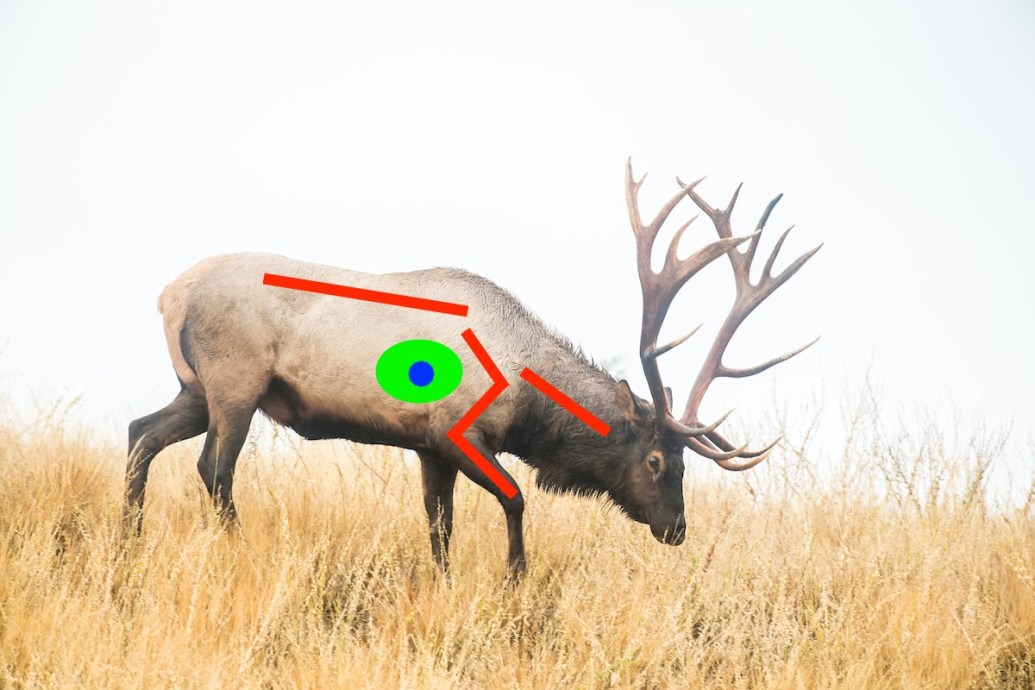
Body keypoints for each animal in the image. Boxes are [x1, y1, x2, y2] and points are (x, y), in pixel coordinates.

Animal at [125, 159, 820, 576]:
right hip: (235, 381)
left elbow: (440, 528)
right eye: (656, 460)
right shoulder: (454, 432)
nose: (676, 528)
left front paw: (446, 582)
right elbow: (513, 498)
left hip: (196, 388)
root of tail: (168, 295)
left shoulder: (426, 447)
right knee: (213, 468)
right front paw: (516, 578)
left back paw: (128, 539)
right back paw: (236, 548)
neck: (529, 404)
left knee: (141, 434)